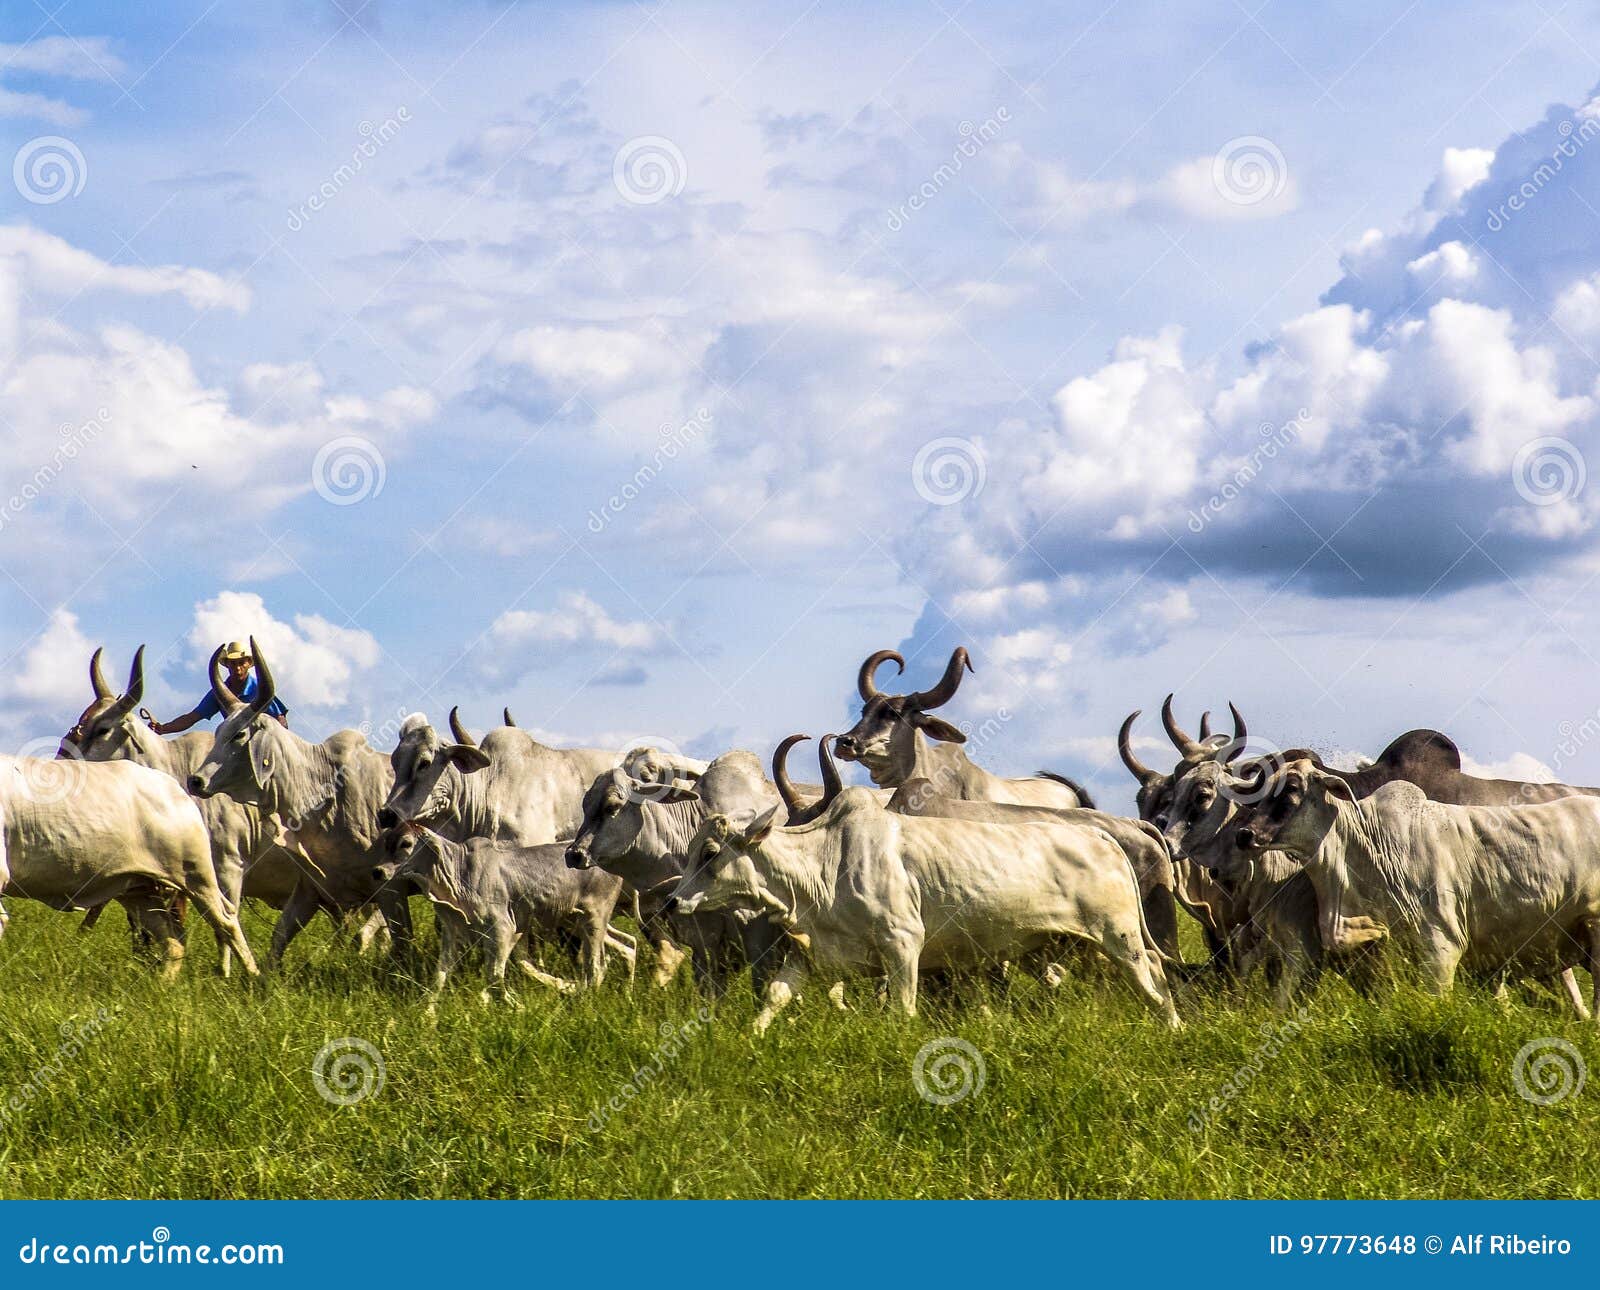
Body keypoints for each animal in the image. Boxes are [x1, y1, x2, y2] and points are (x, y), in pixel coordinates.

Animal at [0, 755, 257, 978]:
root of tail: (171, 785)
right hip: (136, 889)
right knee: (173, 939)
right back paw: (162, 985)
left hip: (195, 875)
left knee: (227, 921)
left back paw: (253, 978)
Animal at [186, 638, 409, 968]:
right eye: (218, 732)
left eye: (240, 735)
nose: (196, 781)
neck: (322, 794)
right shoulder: (310, 889)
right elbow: (278, 939)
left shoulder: (389, 889)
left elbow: (375, 937)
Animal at [374, 823, 629, 1002]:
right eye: (387, 843)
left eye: (406, 843)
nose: (377, 871)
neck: (458, 875)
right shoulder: (453, 932)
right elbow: (440, 976)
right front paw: (428, 1013)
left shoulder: (503, 928)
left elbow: (496, 977)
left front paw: (517, 1005)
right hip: (575, 920)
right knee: (627, 944)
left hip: (594, 919)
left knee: (597, 966)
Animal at [667, 786, 1181, 1033]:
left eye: (709, 852)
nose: (672, 901)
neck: (824, 865)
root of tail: (1102, 835)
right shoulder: (808, 952)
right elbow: (774, 997)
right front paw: (751, 1039)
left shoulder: (902, 944)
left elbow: (903, 1009)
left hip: (1120, 937)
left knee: (1154, 978)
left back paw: (1173, 1025)